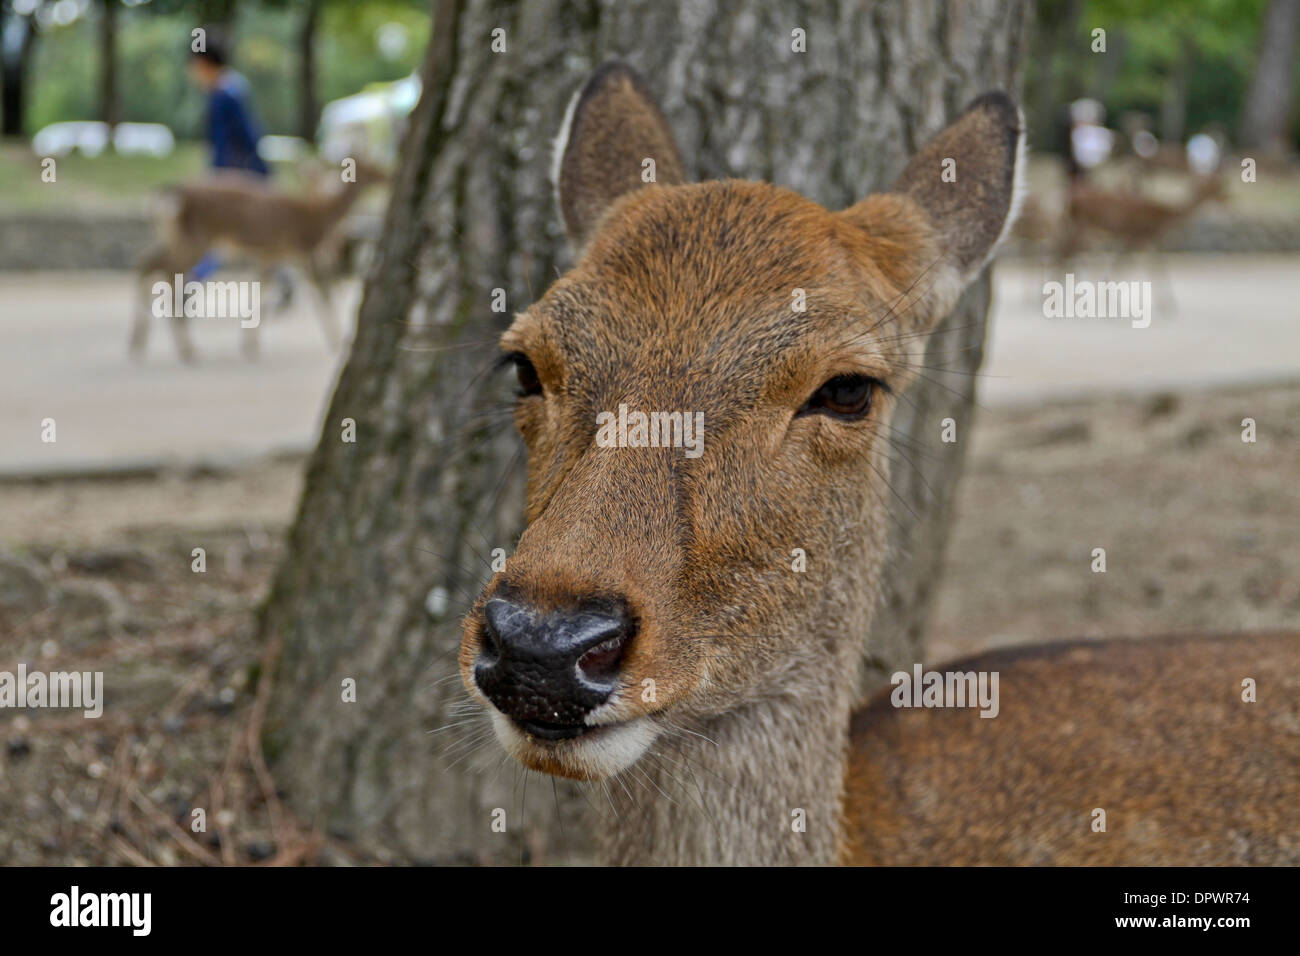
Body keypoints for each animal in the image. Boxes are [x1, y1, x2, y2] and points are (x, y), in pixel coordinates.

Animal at [128, 159, 387, 363]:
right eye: (371, 165)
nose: (387, 174)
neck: (317, 216)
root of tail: (166, 194)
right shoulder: (300, 251)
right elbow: (322, 293)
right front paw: (339, 341)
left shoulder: (275, 255)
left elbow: (264, 289)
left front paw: (249, 344)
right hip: (195, 240)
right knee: (168, 273)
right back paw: (186, 350)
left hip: (172, 237)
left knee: (145, 262)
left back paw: (138, 343)